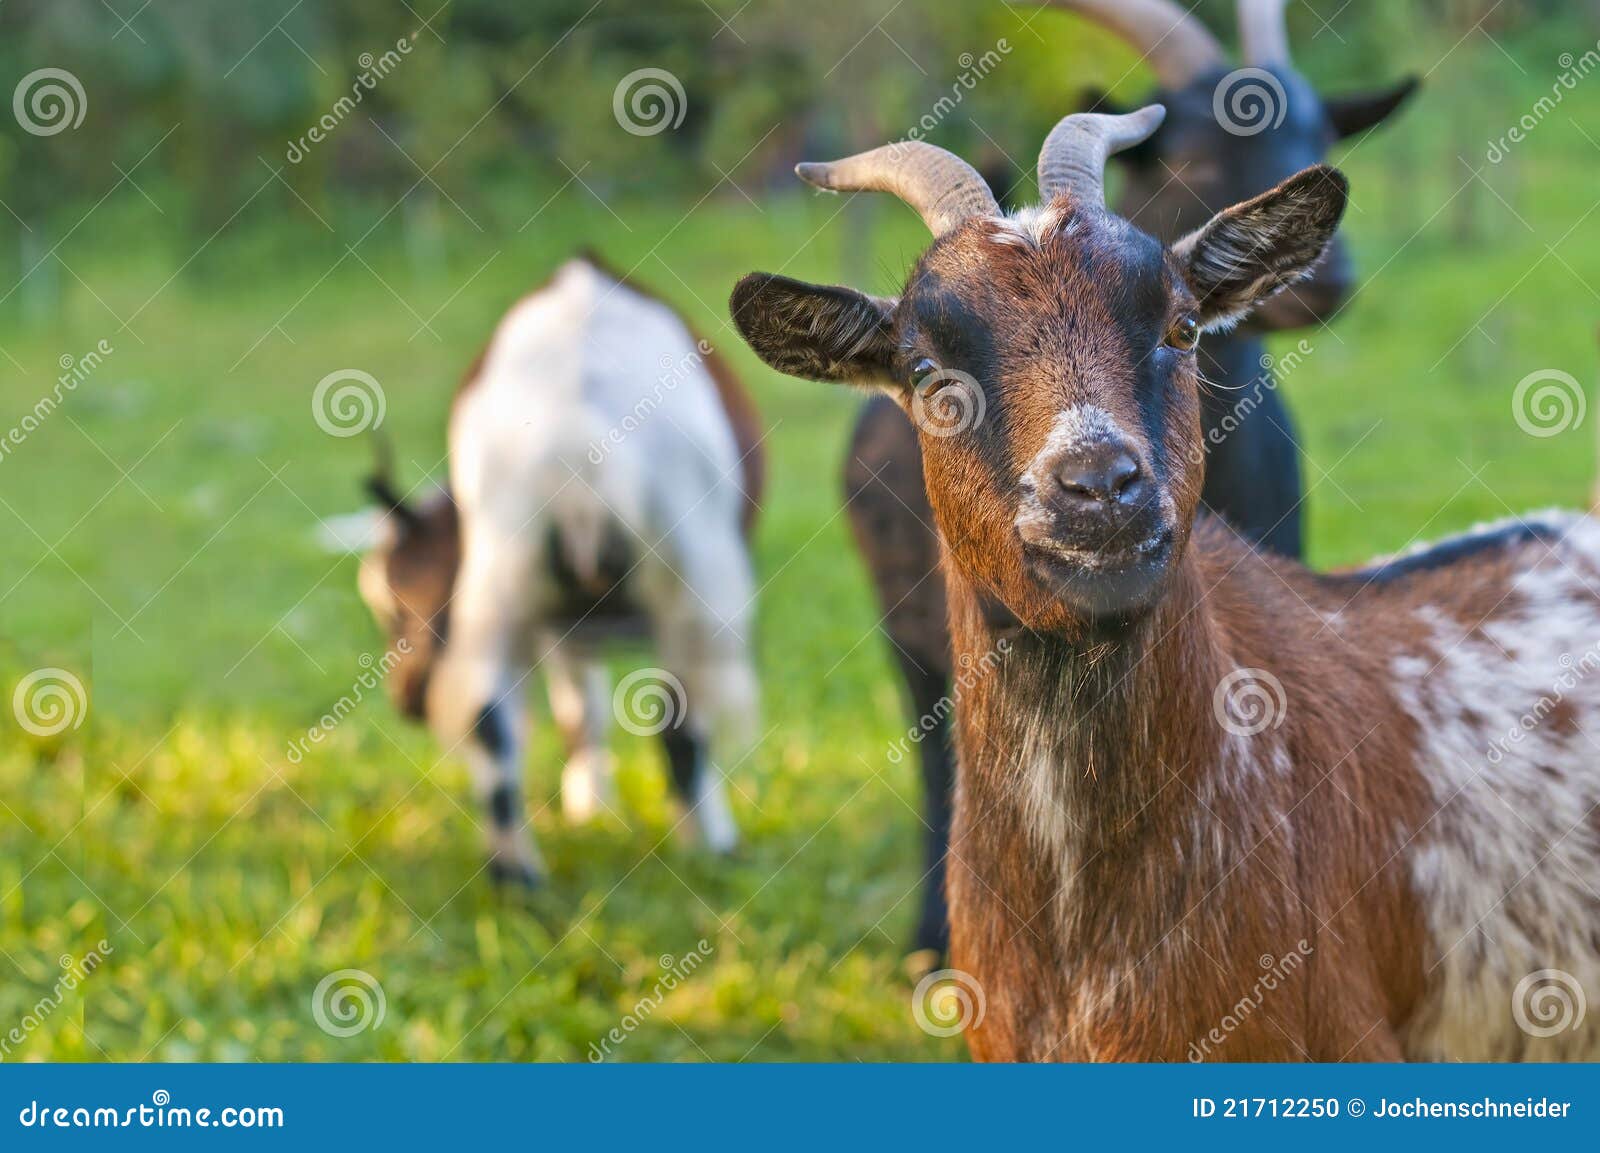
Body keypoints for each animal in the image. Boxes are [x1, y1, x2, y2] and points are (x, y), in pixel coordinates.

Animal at [356, 254, 763, 885]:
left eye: (393, 603)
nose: (407, 697)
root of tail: (580, 425)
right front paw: (591, 804)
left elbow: (576, 712)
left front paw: (587, 805)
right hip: (693, 585)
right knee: (683, 722)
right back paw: (709, 845)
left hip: (500, 578)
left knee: (489, 717)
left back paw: (515, 875)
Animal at [844, 0, 1417, 967]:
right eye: (1191, 153)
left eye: (1318, 133)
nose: (1330, 277)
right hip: (906, 632)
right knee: (933, 759)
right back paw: (928, 938)